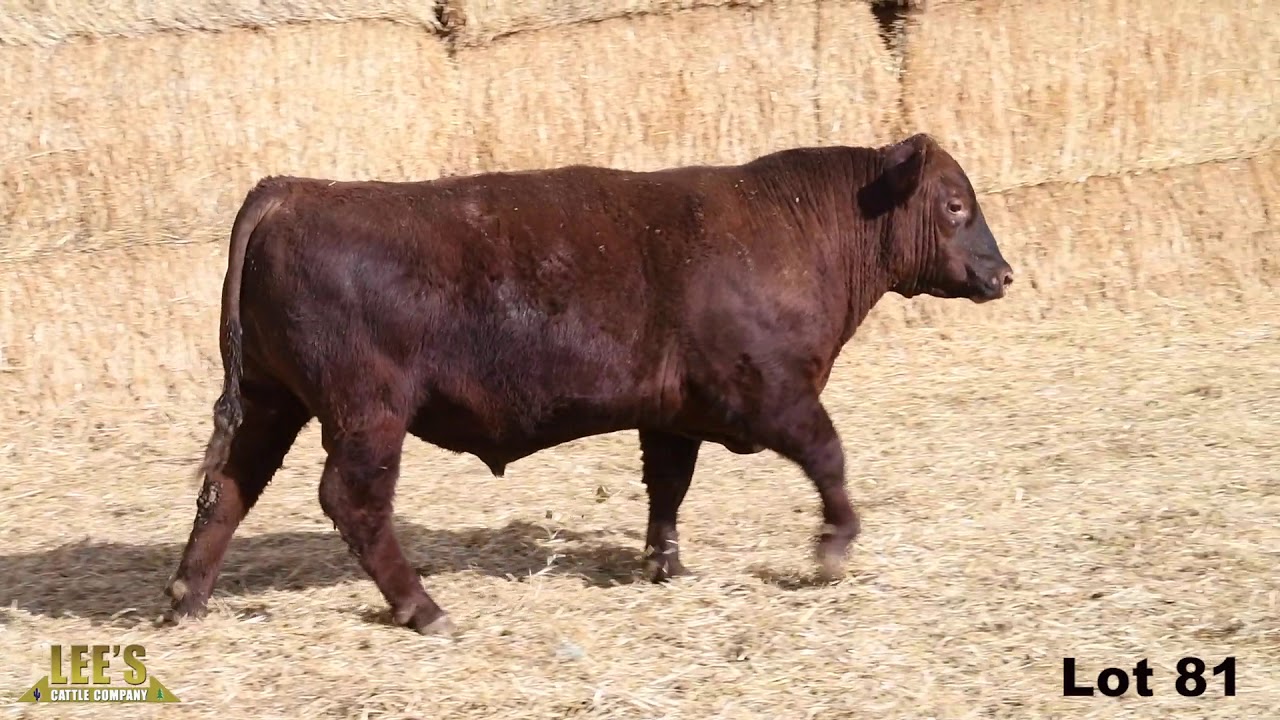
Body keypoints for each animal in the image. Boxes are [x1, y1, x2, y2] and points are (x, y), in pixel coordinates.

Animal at [163, 132, 1013, 636]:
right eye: (955, 204)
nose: (1003, 274)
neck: (797, 228)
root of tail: (296, 188)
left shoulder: (673, 414)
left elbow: (667, 486)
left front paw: (664, 565)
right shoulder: (773, 394)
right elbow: (829, 457)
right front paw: (834, 547)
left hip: (270, 402)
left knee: (225, 492)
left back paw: (185, 601)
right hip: (367, 414)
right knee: (353, 503)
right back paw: (423, 608)